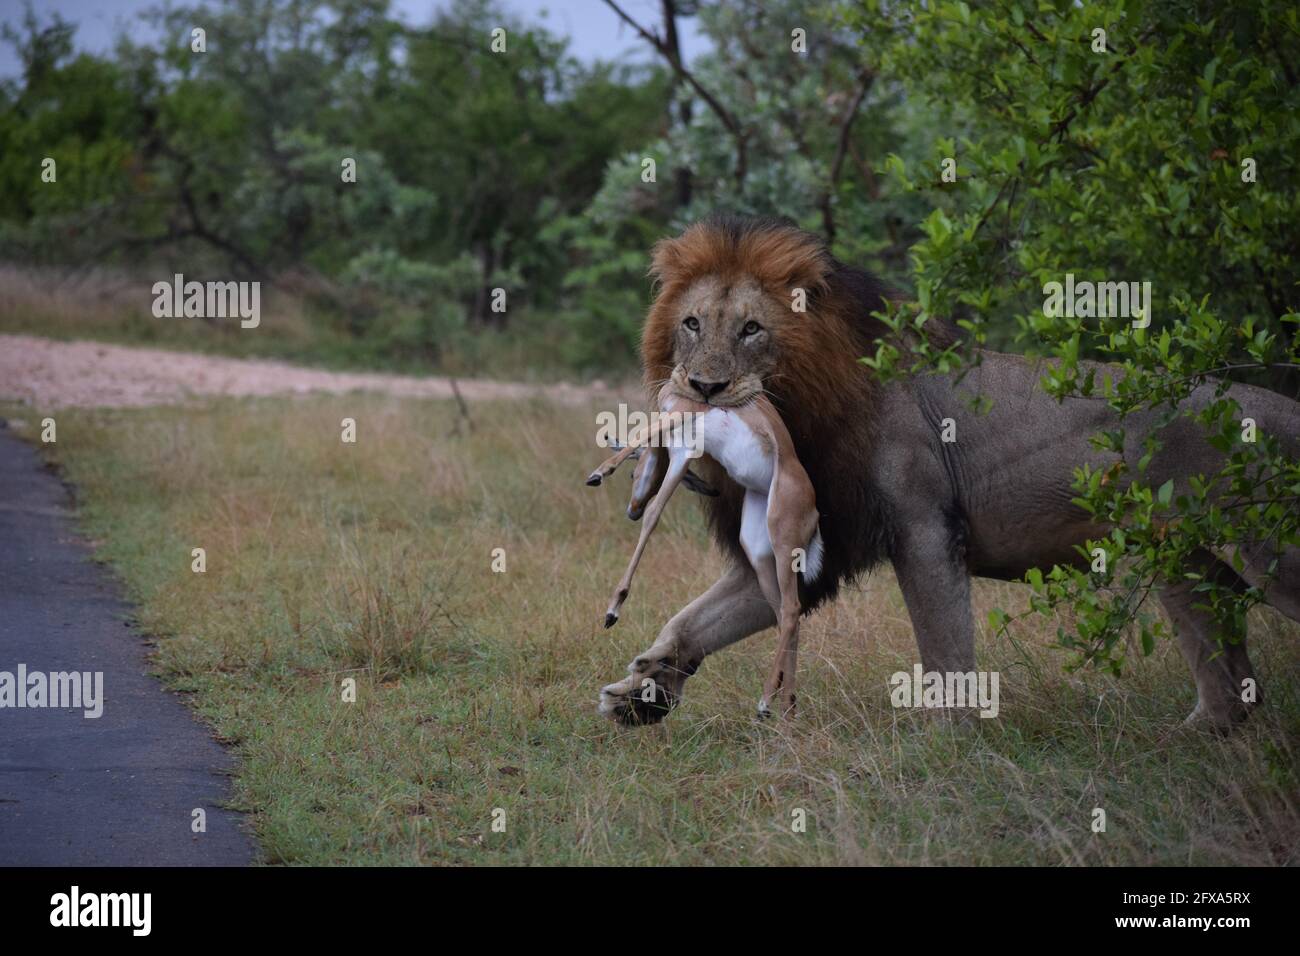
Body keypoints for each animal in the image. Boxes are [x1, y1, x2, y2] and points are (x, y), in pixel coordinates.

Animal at [587, 382, 822, 717]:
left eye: (633, 474)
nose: (632, 510)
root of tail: (814, 513)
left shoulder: (680, 419)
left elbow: (641, 432)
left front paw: (597, 474)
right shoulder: (682, 453)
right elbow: (653, 516)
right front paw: (613, 610)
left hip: (782, 543)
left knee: (791, 610)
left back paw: (765, 703)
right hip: (758, 551)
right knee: (785, 616)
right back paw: (786, 709)